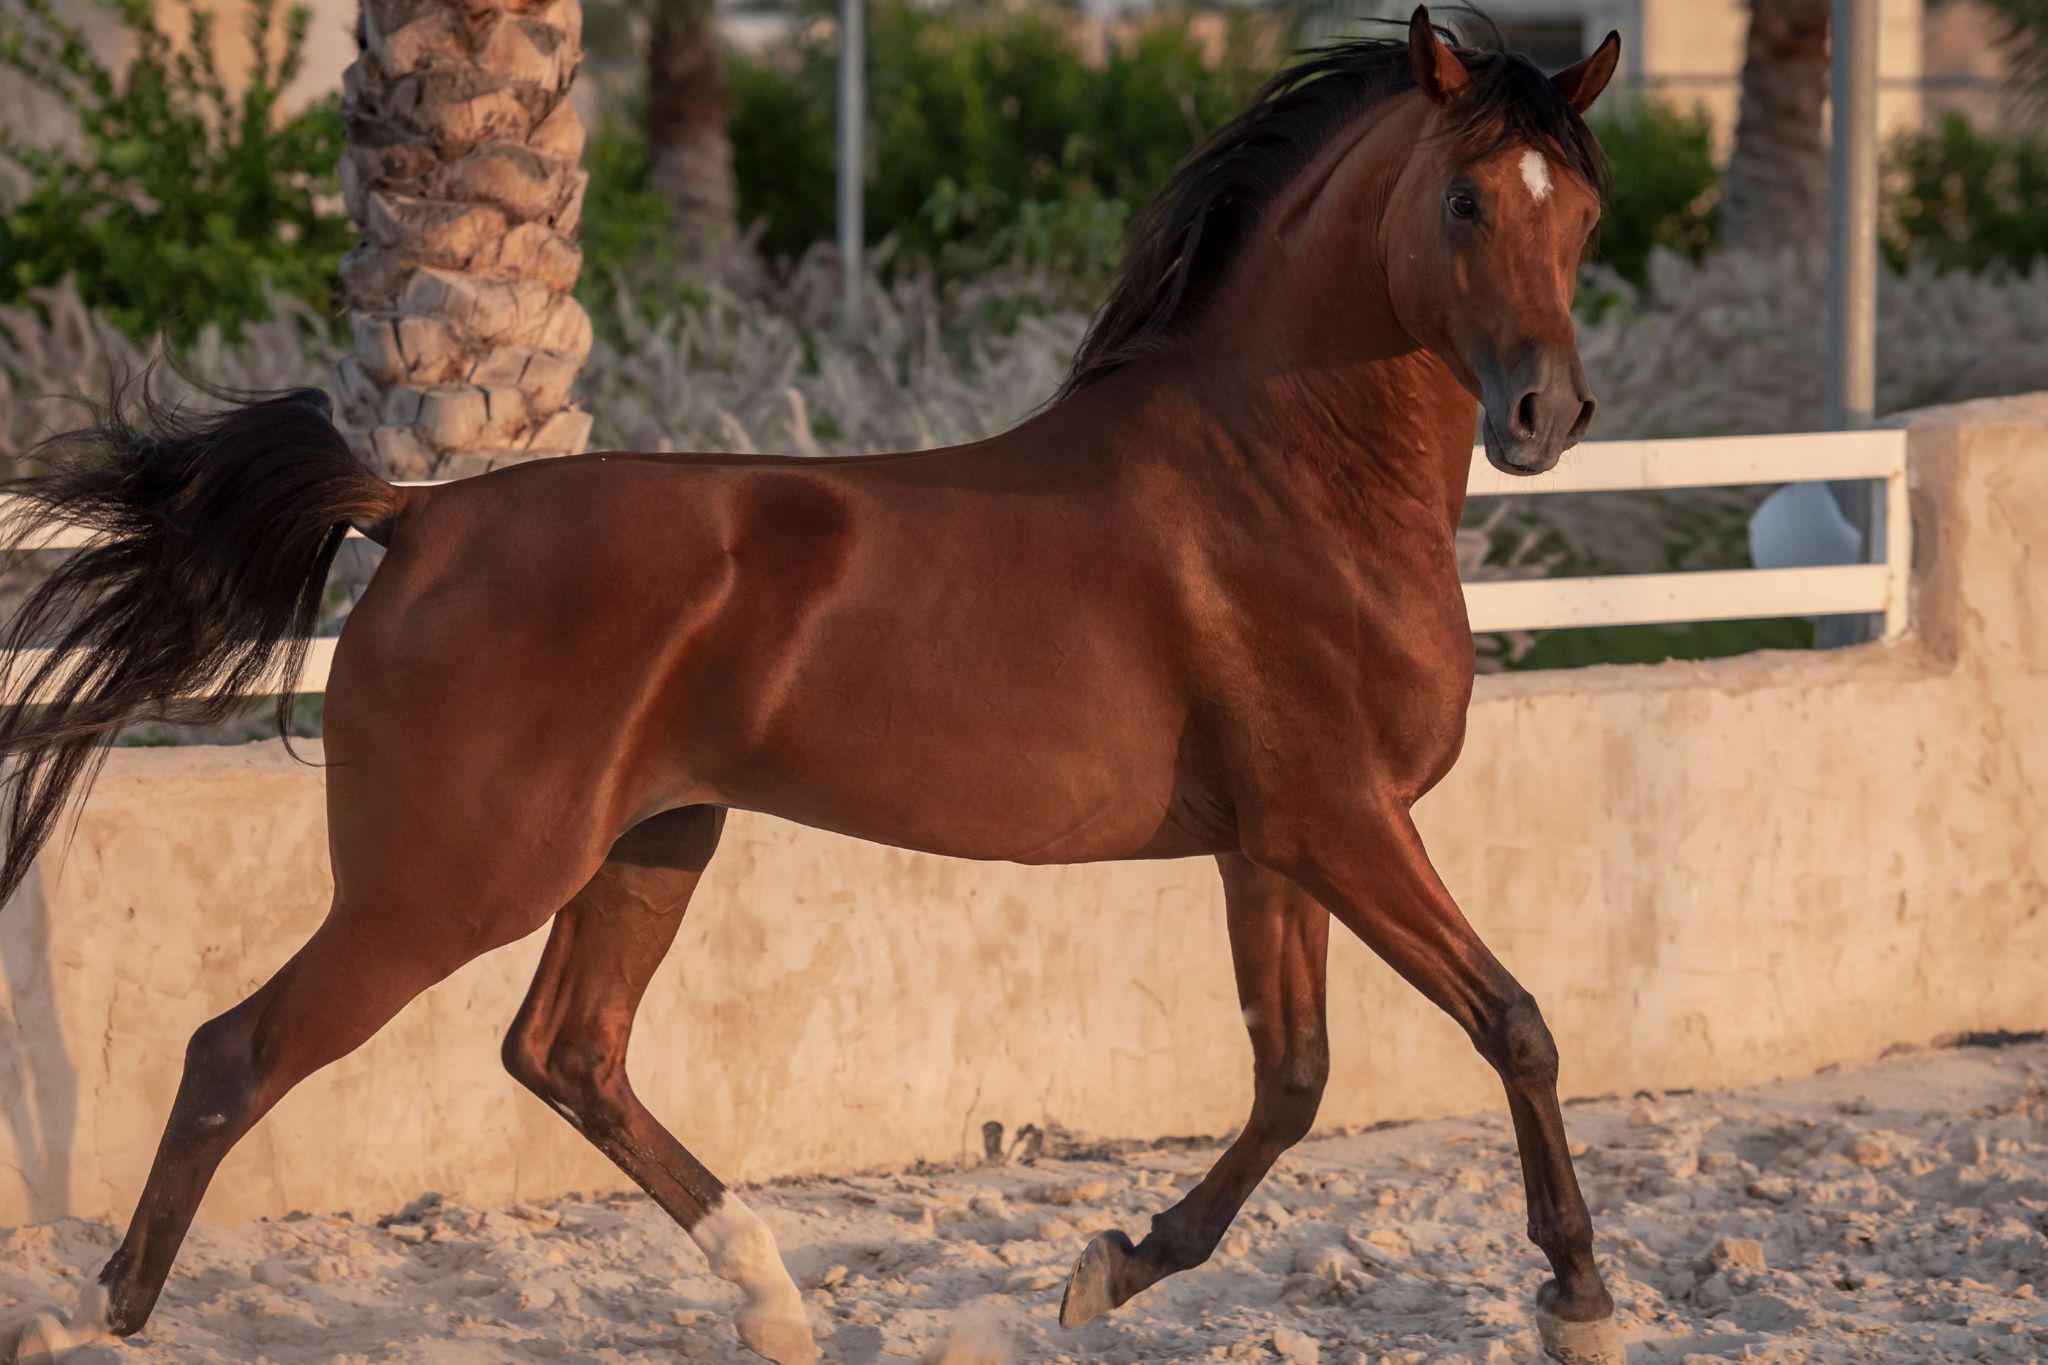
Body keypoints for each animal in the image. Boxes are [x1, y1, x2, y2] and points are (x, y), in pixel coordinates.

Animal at [0, 8, 1624, 1362]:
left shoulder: (1275, 844)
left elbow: (1294, 1080)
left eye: (1587, 213)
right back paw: (105, 1319)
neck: (1279, 480)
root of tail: (417, 516)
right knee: (240, 1052)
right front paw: (1580, 1302)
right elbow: (1514, 1024)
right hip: (449, 884)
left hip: (651, 843)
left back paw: (776, 1303)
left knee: (566, 1051)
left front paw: (1106, 1268)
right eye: (1467, 199)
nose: (1545, 413)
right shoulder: (1342, 823)